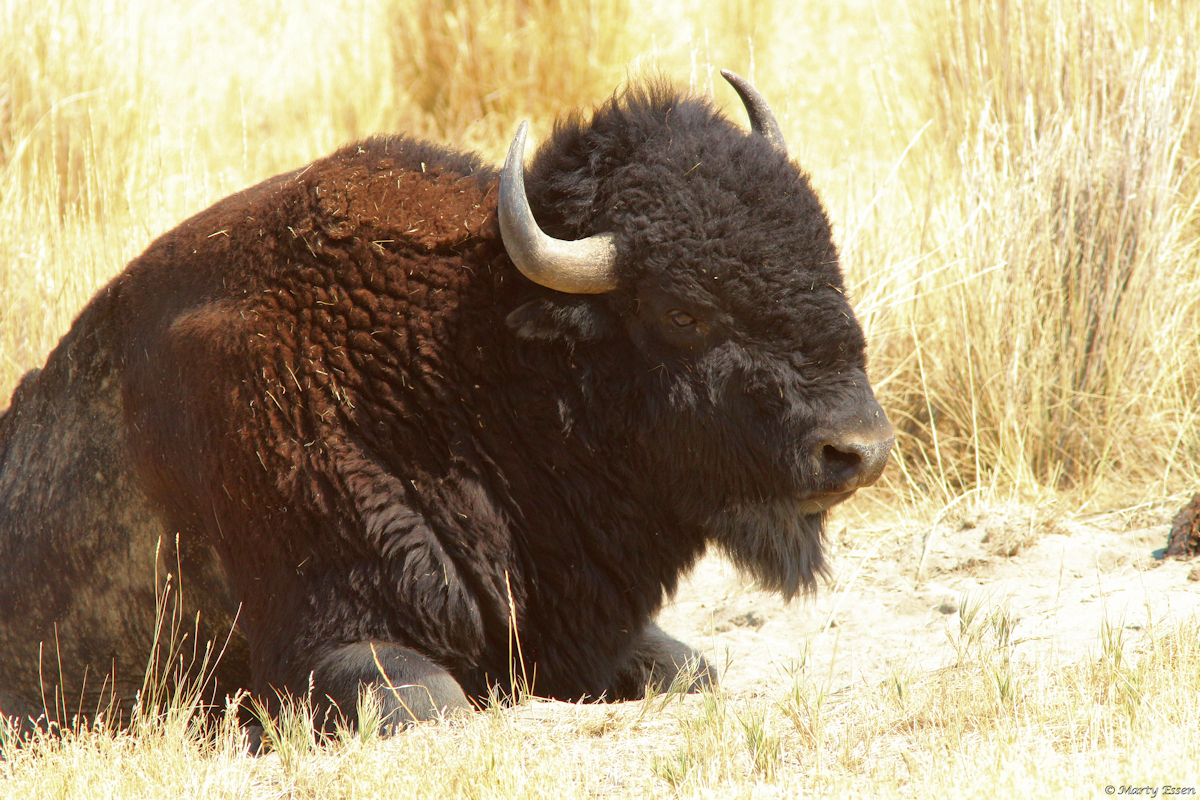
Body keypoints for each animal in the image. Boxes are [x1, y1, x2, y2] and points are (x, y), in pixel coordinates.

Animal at [0, 71, 893, 734]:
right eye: (683, 312)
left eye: (825, 255)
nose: (856, 449)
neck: (467, 356)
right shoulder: (333, 641)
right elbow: (433, 703)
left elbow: (689, 668)